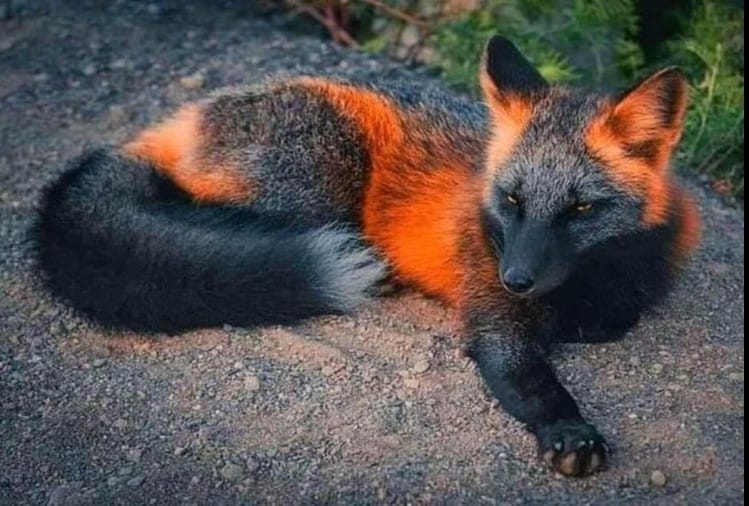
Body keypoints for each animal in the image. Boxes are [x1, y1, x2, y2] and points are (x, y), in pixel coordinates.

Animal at [35, 36, 700, 477]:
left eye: (581, 209)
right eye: (512, 199)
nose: (515, 278)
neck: (590, 281)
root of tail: (186, 116)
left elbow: (614, 319)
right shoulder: (493, 319)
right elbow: (532, 379)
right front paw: (568, 430)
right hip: (320, 182)